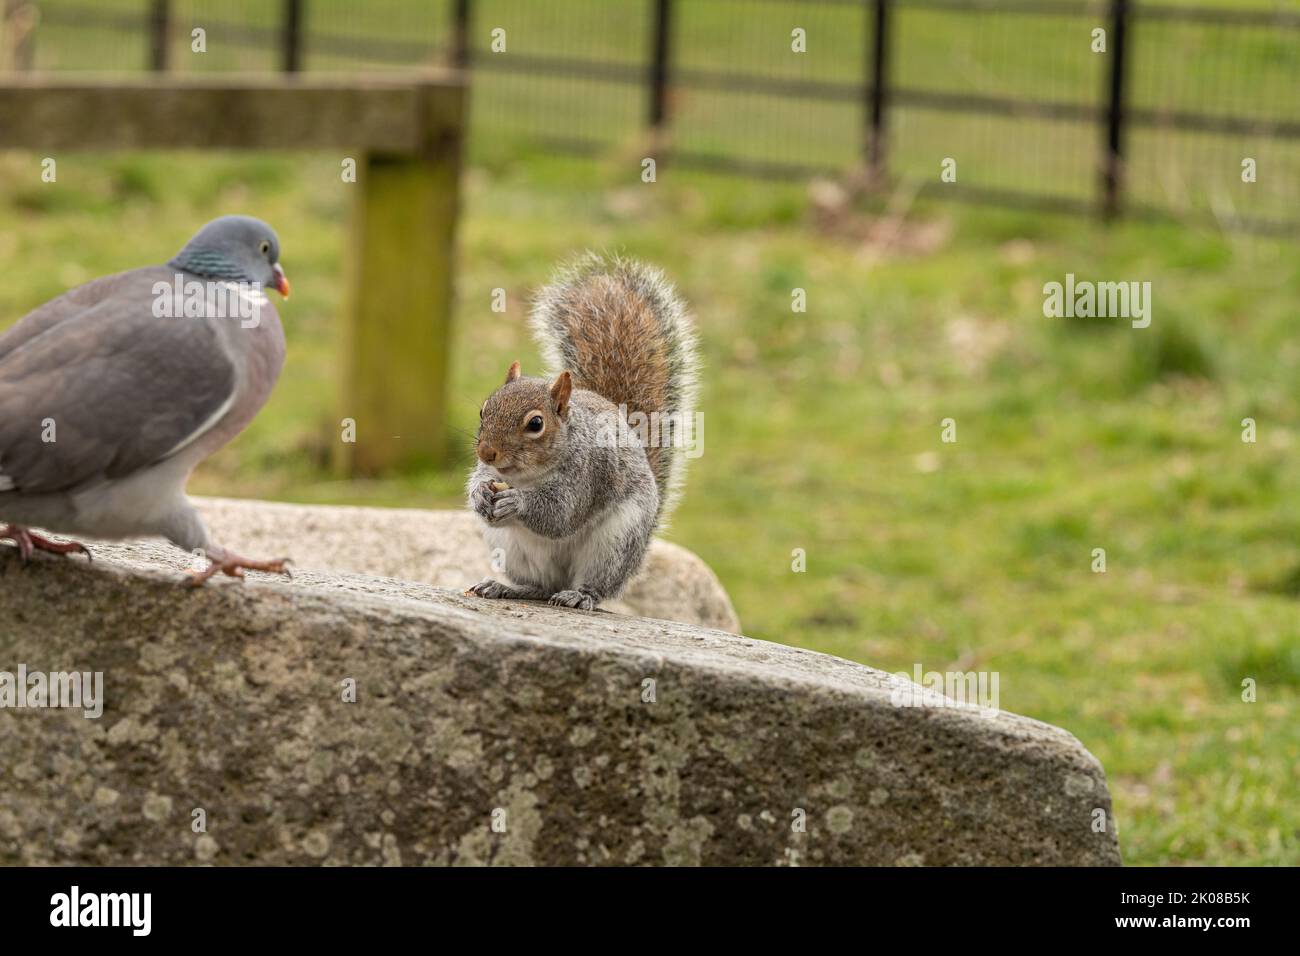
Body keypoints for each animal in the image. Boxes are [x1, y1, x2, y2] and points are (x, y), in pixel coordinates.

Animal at [465, 253, 699, 611]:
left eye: (536, 424)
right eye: (483, 410)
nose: (486, 452)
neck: (527, 476)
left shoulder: (589, 475)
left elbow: (561, 512)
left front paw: (517, 502)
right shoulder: (491, 472)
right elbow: (480, 482)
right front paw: (480, 495)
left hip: (615, 543)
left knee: (594, 584)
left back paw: (579, 595)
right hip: (512, 548)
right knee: (541, 586)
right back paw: (507, 587)